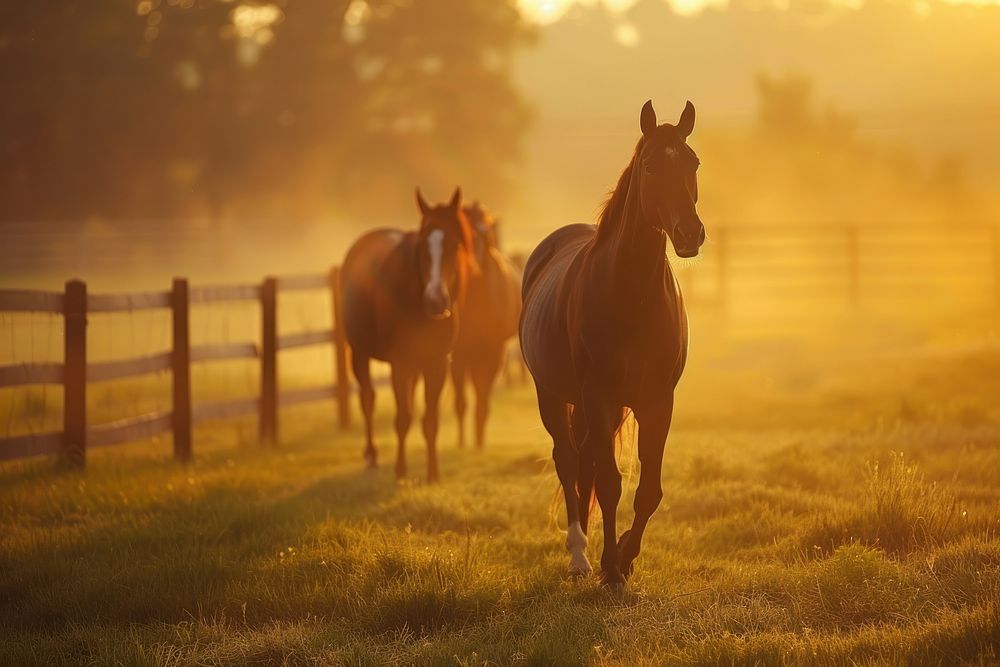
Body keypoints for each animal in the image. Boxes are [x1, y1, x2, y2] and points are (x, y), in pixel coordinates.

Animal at [340, 187, 476, 482]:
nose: (436, 301)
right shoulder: (400, 363)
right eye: (423, 247)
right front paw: (401, 470)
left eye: (455, 245)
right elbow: (403, 417)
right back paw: (371, 456)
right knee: (367, 400)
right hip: (359, 353)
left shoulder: (436, 363)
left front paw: (433, 472)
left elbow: (430, 420)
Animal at [451, 202, 521, 449]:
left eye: (483, 233)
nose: (470, 266)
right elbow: (461, 402)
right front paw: (462, 444)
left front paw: (479, 443)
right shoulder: (459, 353)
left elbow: (483, 398)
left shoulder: (493, 351)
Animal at [519, 100, 706, 586]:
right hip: (553, 395)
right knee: (569, 461)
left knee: (583, 461)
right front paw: (610, 567)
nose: (690, 233)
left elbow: (649, 490)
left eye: (693, 163)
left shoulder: (656, 401)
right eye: (650, 165)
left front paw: (625, 555)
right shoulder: (597, 395)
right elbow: (609, 483)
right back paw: (579, 555)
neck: (630, 295)